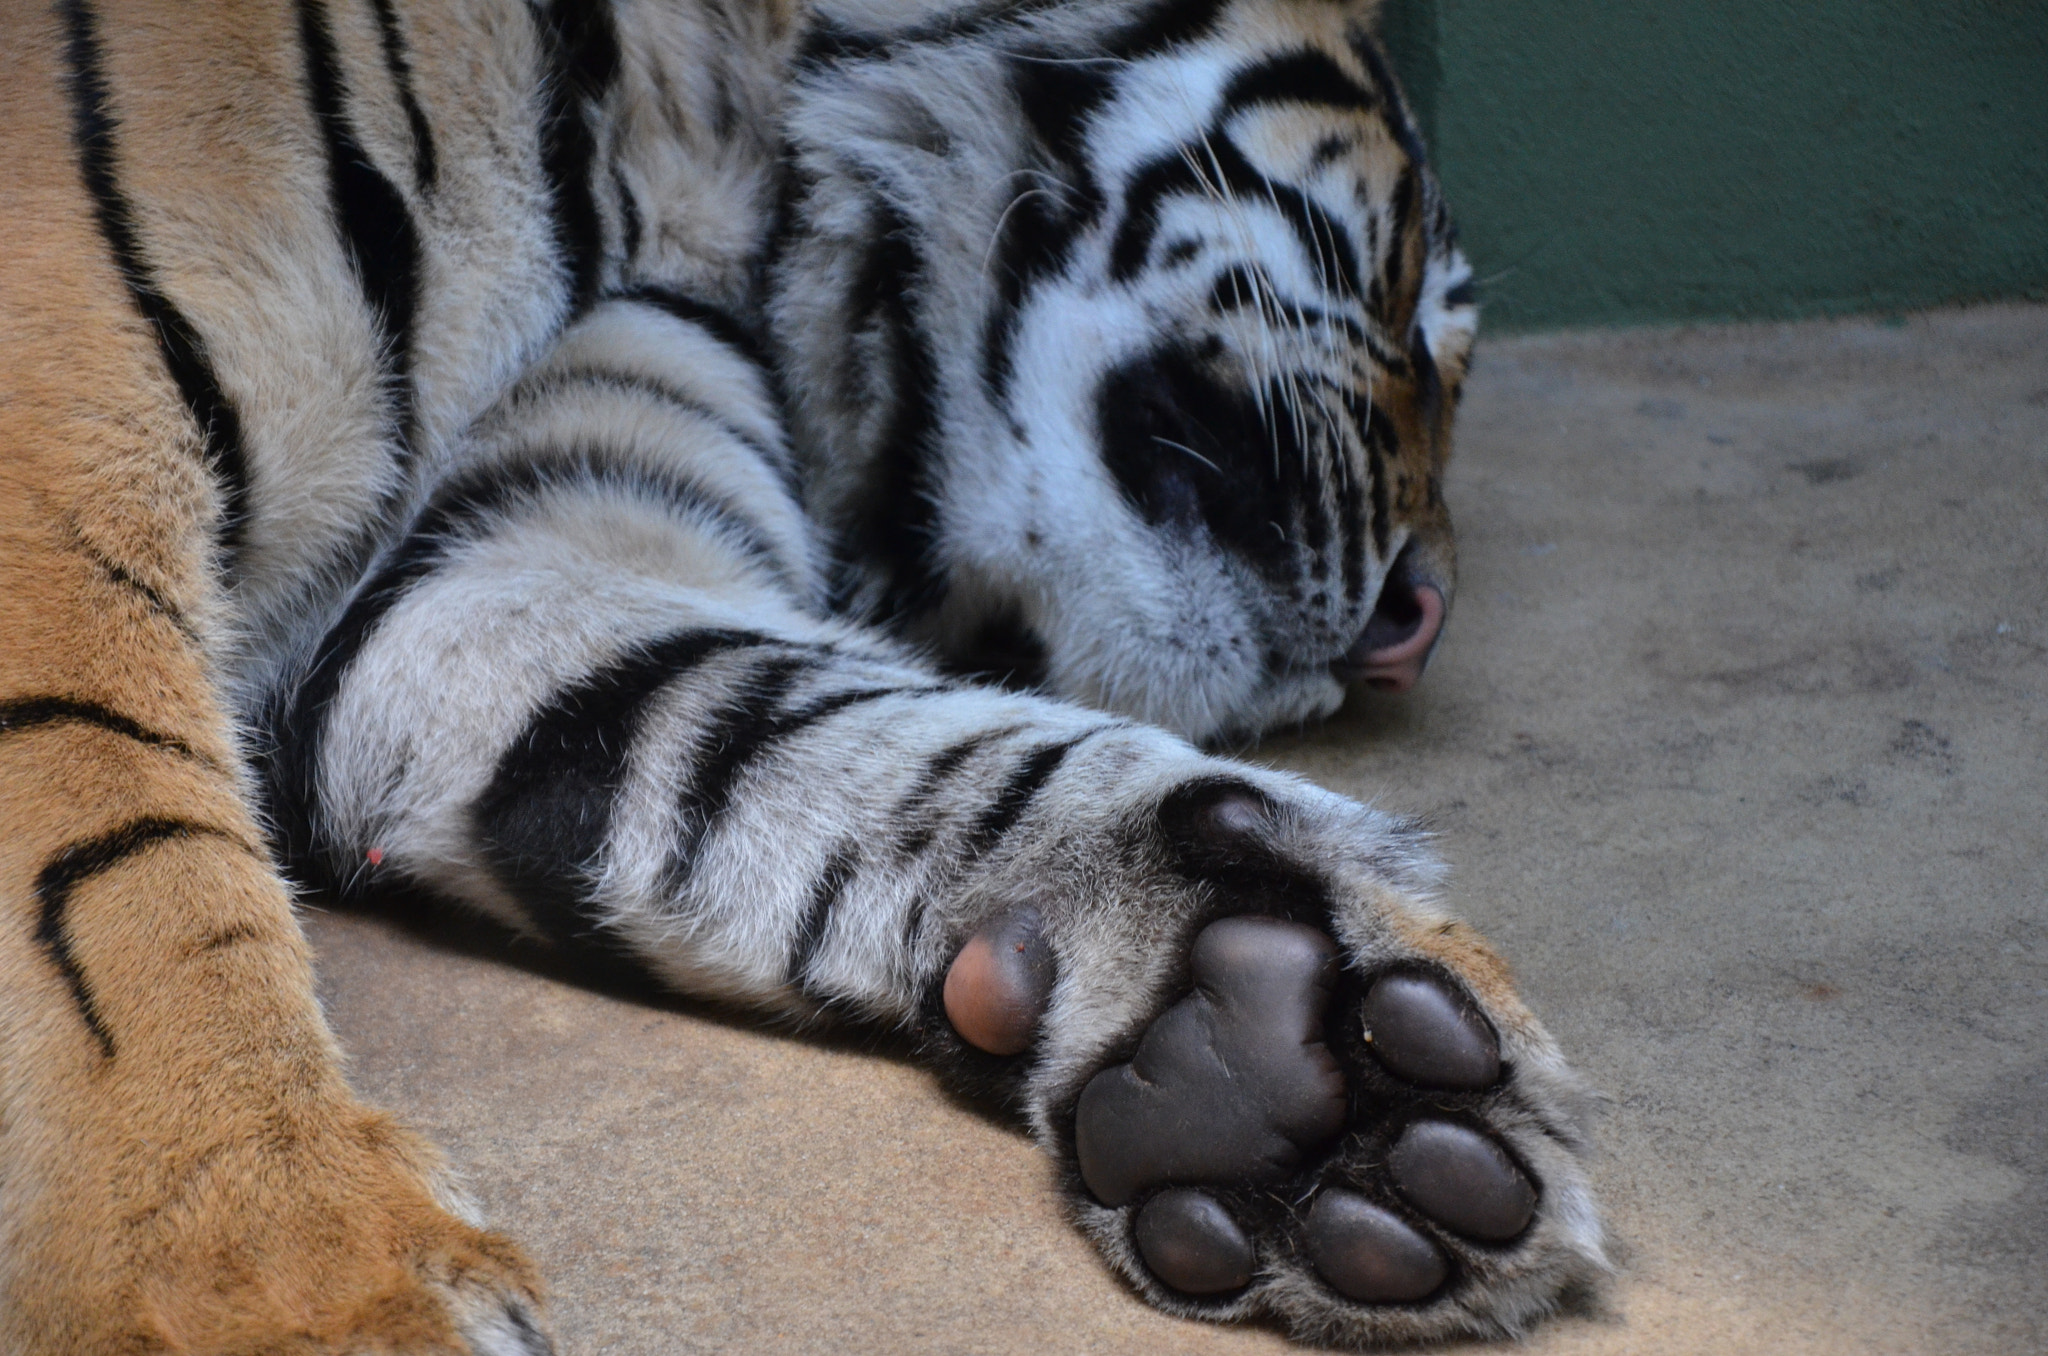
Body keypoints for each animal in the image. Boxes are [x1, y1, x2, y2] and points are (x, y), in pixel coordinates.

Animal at [0, 0, 1607, 1349]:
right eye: (1421, 319)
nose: (1419, 625)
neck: (692, 152)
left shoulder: (472, 565)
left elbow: (754, 725)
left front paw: (1271, 1041)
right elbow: (116, 869)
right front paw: (300, 1278)